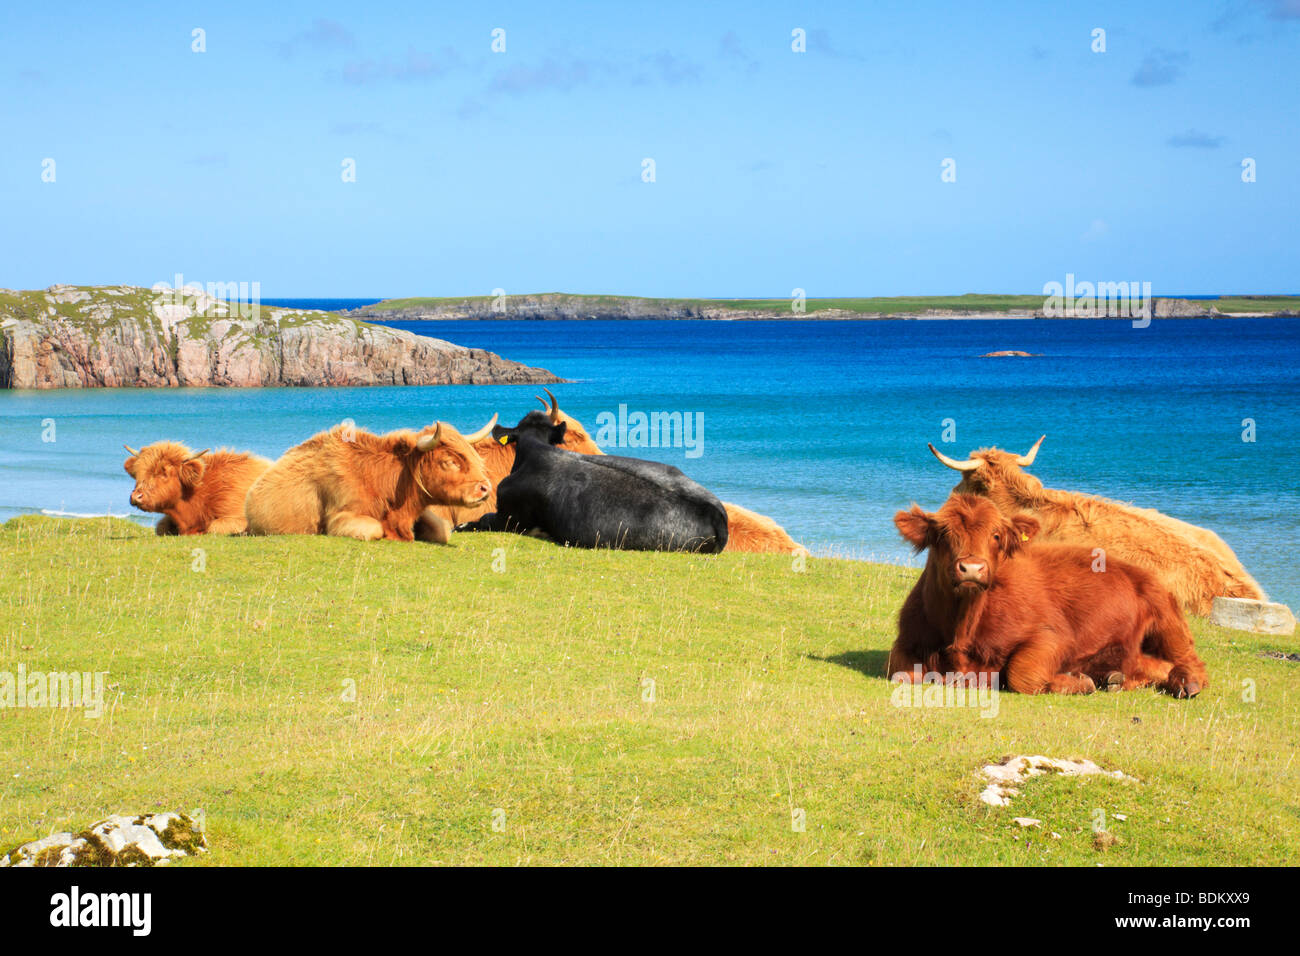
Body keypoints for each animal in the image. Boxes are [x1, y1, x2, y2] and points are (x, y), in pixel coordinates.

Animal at [888, 494, 1209, 698]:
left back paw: (1187, 684)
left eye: (996, 535)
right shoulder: (906, 641)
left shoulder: (1051, 636)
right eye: (943, 535)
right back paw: (1115, 679)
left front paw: (1079, 682)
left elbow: (1022, 674)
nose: (972, 568)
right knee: (1152, 667)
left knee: (1191, 662)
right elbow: (901, 672)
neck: (962, 628)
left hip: (1167, 619)